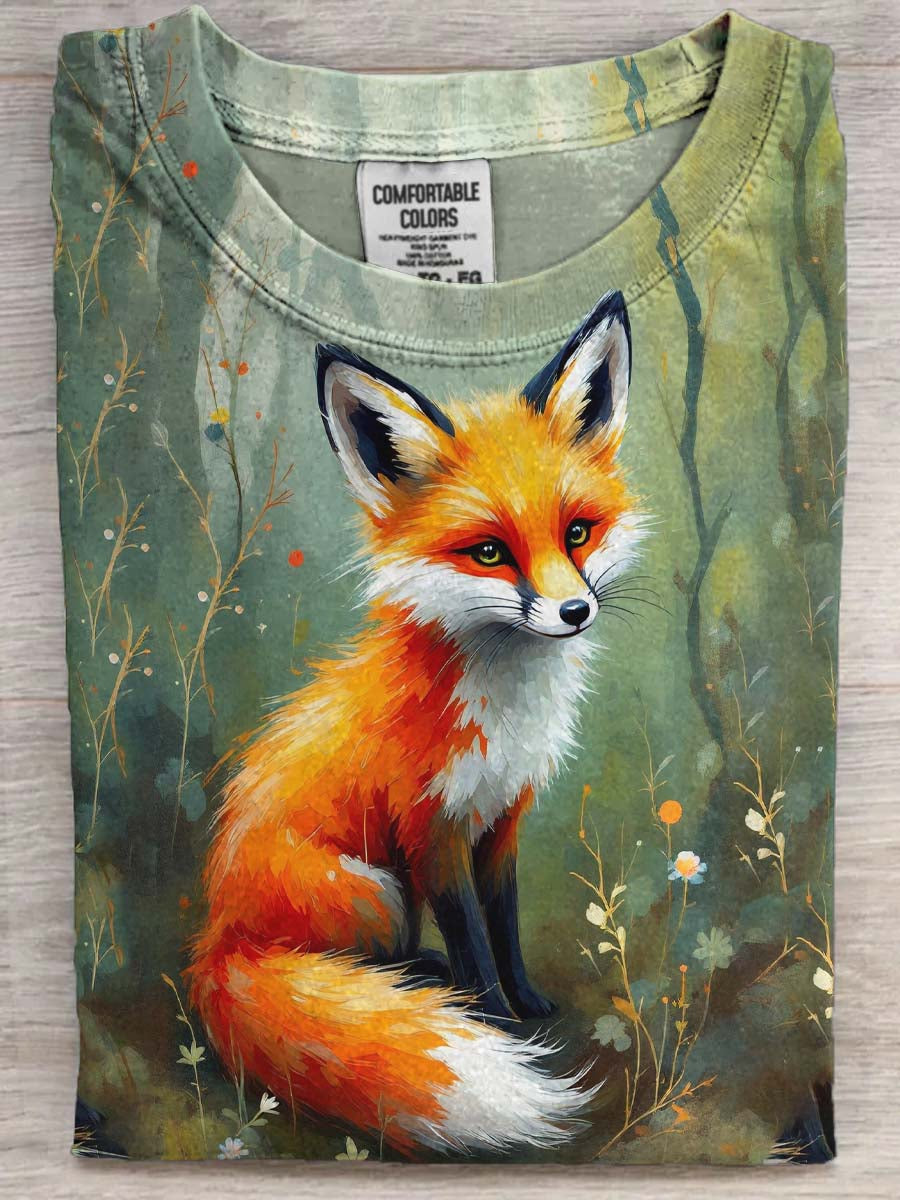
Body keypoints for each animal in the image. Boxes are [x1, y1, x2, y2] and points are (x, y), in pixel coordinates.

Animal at [186, 290, 643, 1157]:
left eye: (577, 532)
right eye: (490, 552)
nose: (574, 611)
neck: (502, 707)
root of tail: (216, 945)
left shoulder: (503, 816)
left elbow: (504, 924)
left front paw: (529, 1002)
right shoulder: (429, 827)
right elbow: (472, 941)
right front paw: (496, 1020)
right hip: (378, 891)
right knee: (365, 959)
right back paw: (414, 982)